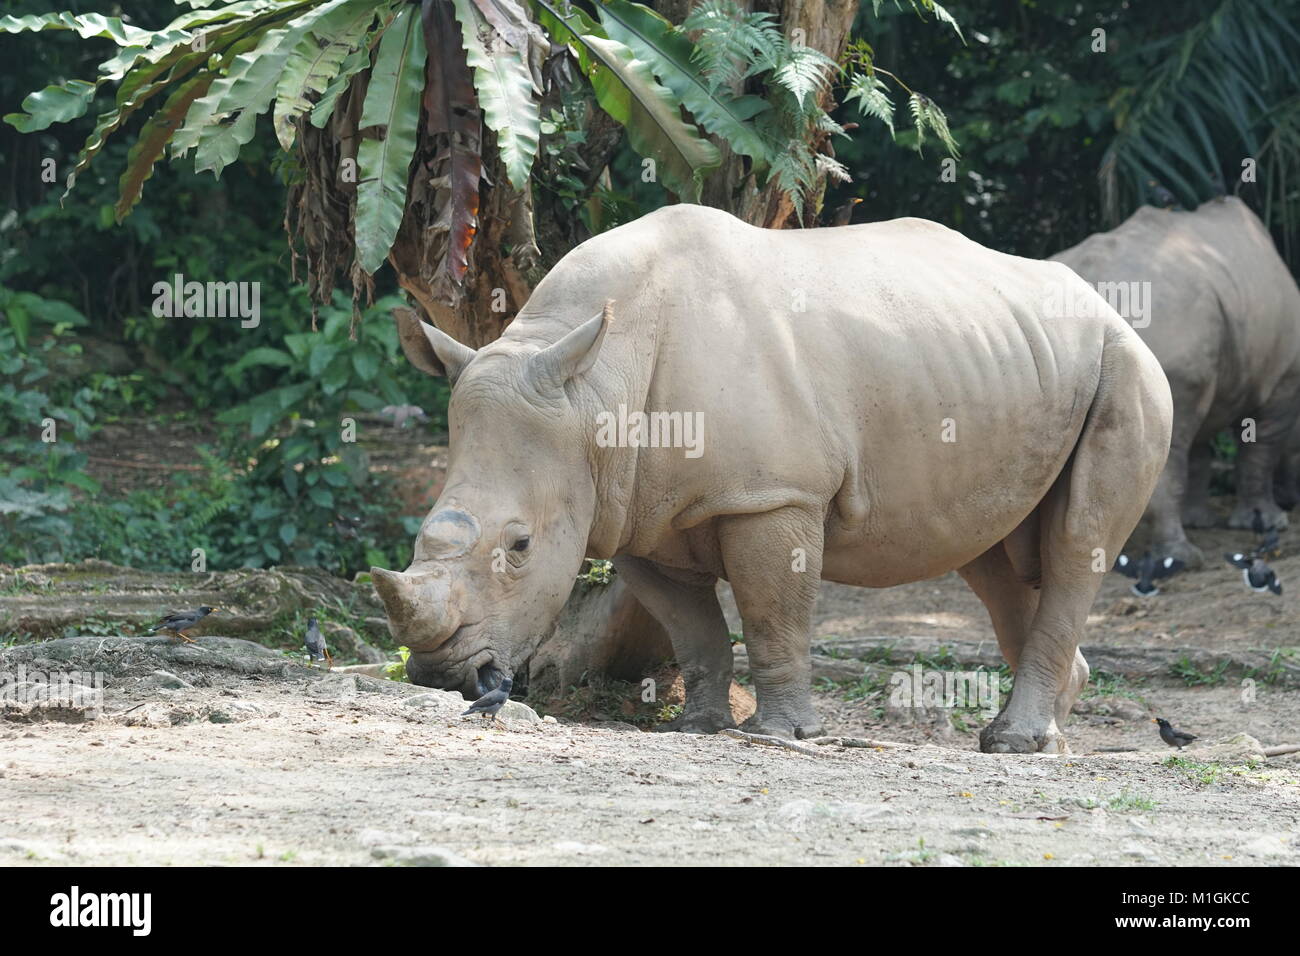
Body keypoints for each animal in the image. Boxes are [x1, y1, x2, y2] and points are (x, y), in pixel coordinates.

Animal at [373, 204, 1172, 753]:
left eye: (521, 547)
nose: (441, 676)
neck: (594, 390)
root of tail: (1101, 301)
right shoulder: (631, 511)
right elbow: (691, 626)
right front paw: (696, 728)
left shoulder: (773, 493)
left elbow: (771, 613)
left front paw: (779, 735)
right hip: (1011, 362)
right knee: (995, 559)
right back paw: (1045, 734)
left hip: (1128, 365)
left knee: (1074, 542)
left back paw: (1016, 743)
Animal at [1052, 198, 1300, 568]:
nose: (1291, 499)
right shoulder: (1282, 382)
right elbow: (1260, 451)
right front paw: (1269, 520)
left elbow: (1199, 454)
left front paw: (1200, 520)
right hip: (1165, 315)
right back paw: (1183, 559)